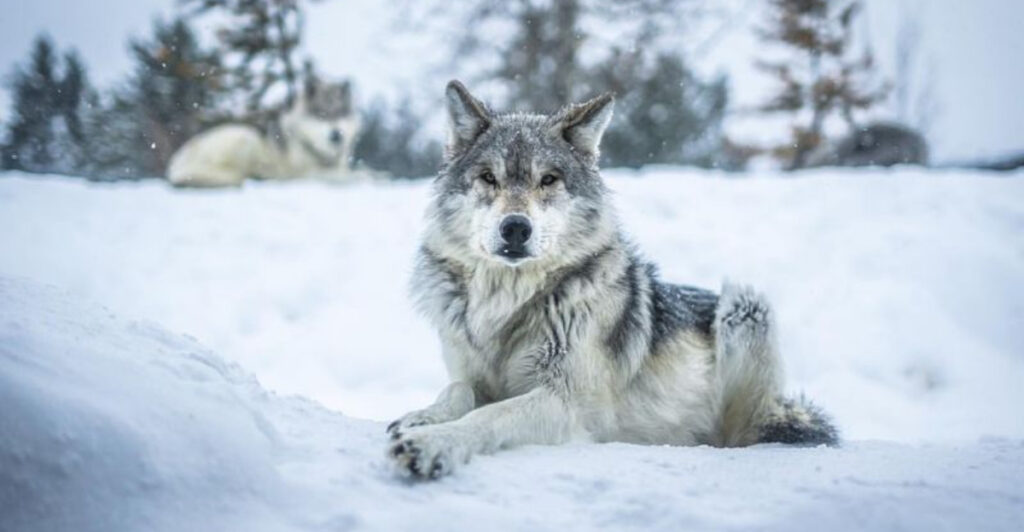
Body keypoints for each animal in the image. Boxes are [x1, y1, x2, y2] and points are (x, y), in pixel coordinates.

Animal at [166, 77, 361, 187]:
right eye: (322, 115)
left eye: (340, 113)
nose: (336, 135)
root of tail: (175, 165)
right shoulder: (309, 174)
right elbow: (357, 175)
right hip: (246, 136)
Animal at [388, 81, 838, 479]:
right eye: (488, 178)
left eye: (548, 179)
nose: (515, 228)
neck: (507, 303)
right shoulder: (472, 375)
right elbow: (458, 392)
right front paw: (420, 418)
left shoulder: (567, 402)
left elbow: (492, 414)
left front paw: (433, 444)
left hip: (745, 307)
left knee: (743, 433)